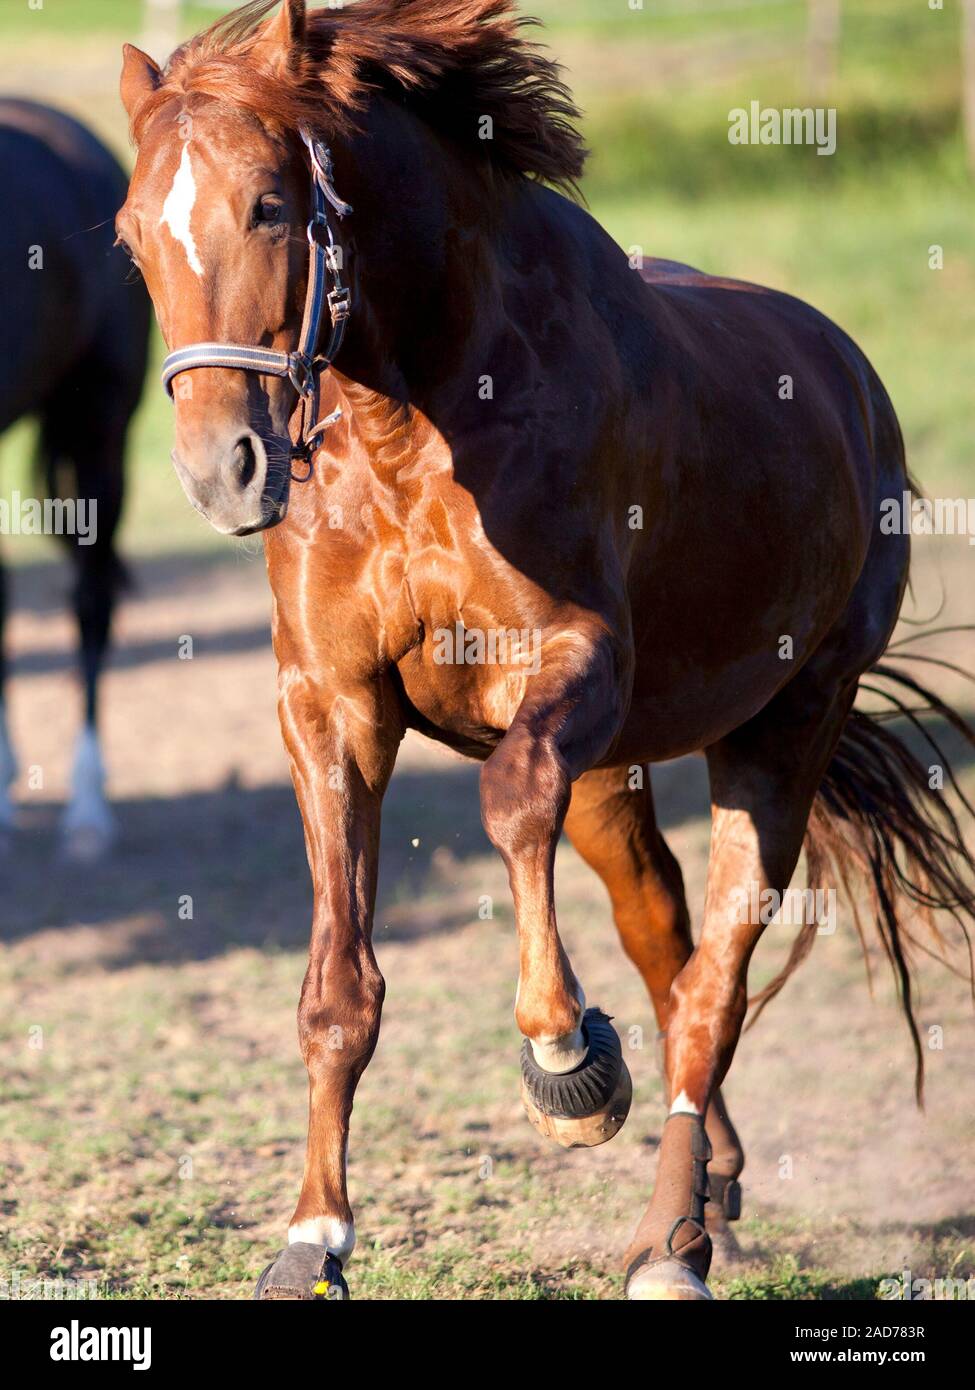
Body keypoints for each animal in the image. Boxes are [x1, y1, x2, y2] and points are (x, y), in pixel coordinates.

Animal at [116, 0, 975, 1300]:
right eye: (128, 238)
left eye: (270, 203)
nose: (225, 470)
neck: (418, 418)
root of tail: (854, 384)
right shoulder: (329, 701)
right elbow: (338, 991)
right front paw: (312, 1239)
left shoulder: (574, 665)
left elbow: (512, 801)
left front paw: (568, 1060)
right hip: (618, 772)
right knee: (664, 938)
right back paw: (710, 1195)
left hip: (785, 724)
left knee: (715, 977)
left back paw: (667, 1239)